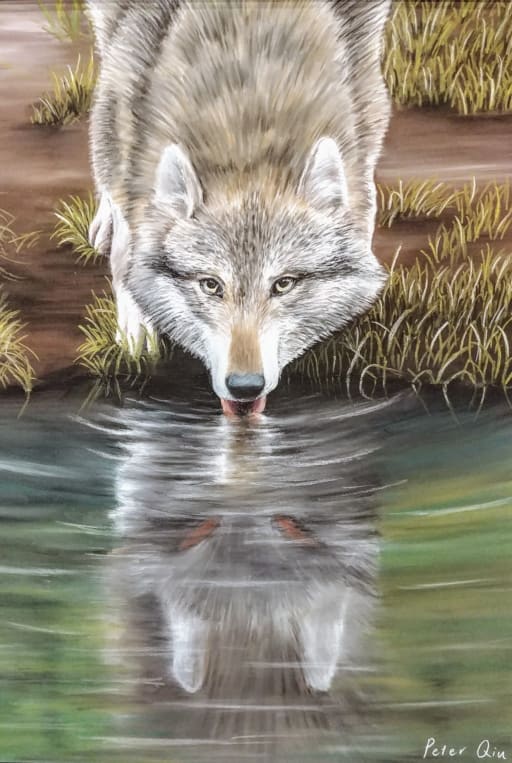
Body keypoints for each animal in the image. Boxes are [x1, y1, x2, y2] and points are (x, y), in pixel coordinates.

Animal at [86, 0, 391, 413]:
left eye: (283, 284)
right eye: (211, 285)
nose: (245, 386)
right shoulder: (120, 109)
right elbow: (125, 252)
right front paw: (136, 330)